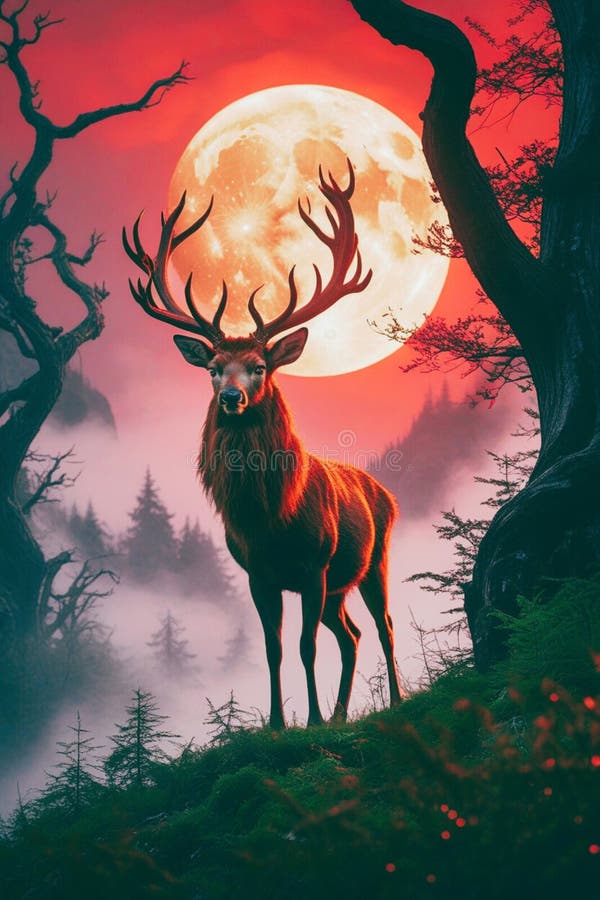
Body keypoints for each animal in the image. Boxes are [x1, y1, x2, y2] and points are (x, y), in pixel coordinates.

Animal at [123, 159, 403, 728]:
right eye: (212, 368)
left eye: (258, 366)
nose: (231, 397)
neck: (272, 518)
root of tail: (385, 492)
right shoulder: (258, 574)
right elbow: (273, 649)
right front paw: (277, 722)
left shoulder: (314, 566)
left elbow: (304, 647)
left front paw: (310, 720)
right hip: (340, 586)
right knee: (352, 635)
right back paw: (341, 714)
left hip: (373, 559)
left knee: (382, 627)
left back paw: (393, 701)